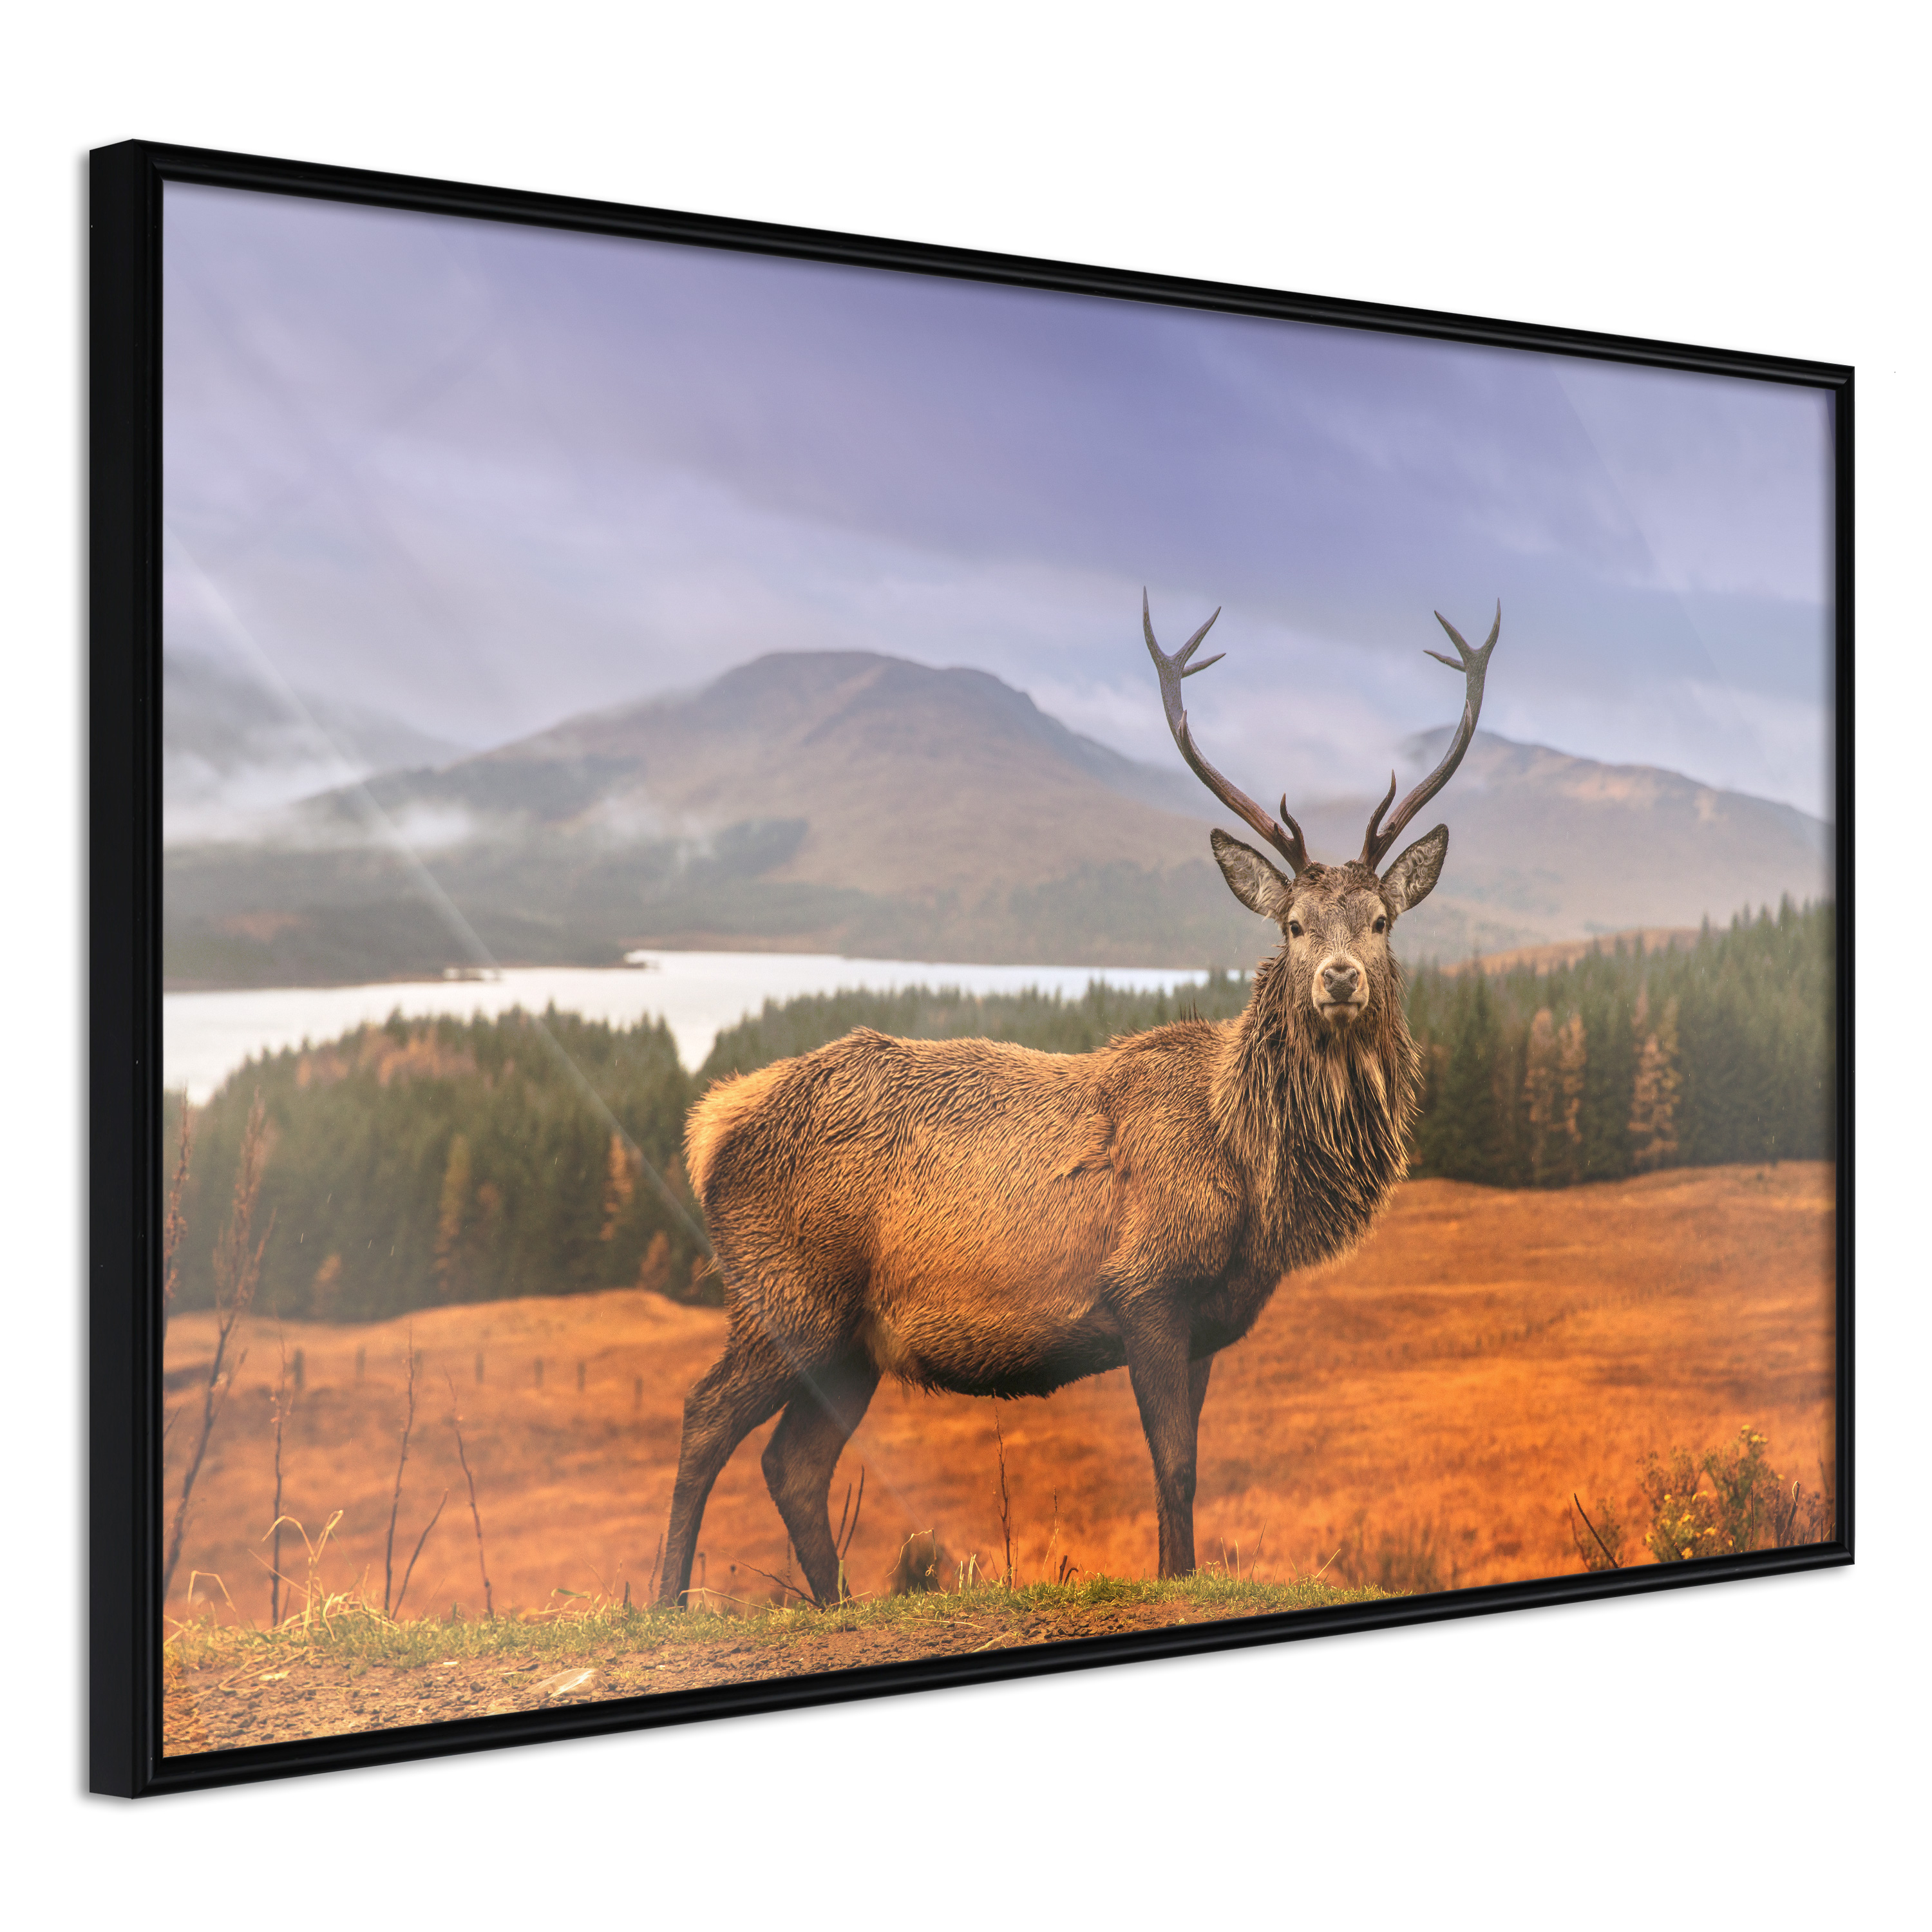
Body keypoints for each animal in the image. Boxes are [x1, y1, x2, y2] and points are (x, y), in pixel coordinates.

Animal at [658, 593, 1500, 1607]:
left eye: (1381, 922)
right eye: (1295, 926)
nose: (1340, 979)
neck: (1251, 1176)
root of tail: (712, 1125)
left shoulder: (1209, 1322)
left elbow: (1187, 1466)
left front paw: (1179, 1573)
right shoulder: (1147, 1287)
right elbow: (1172, 1462)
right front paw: (1174, 1579)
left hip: (852, 1343)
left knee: (793, 1464)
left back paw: (833, 1604)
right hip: (785, 1293)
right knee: (705, 1418)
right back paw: (661, 1600)